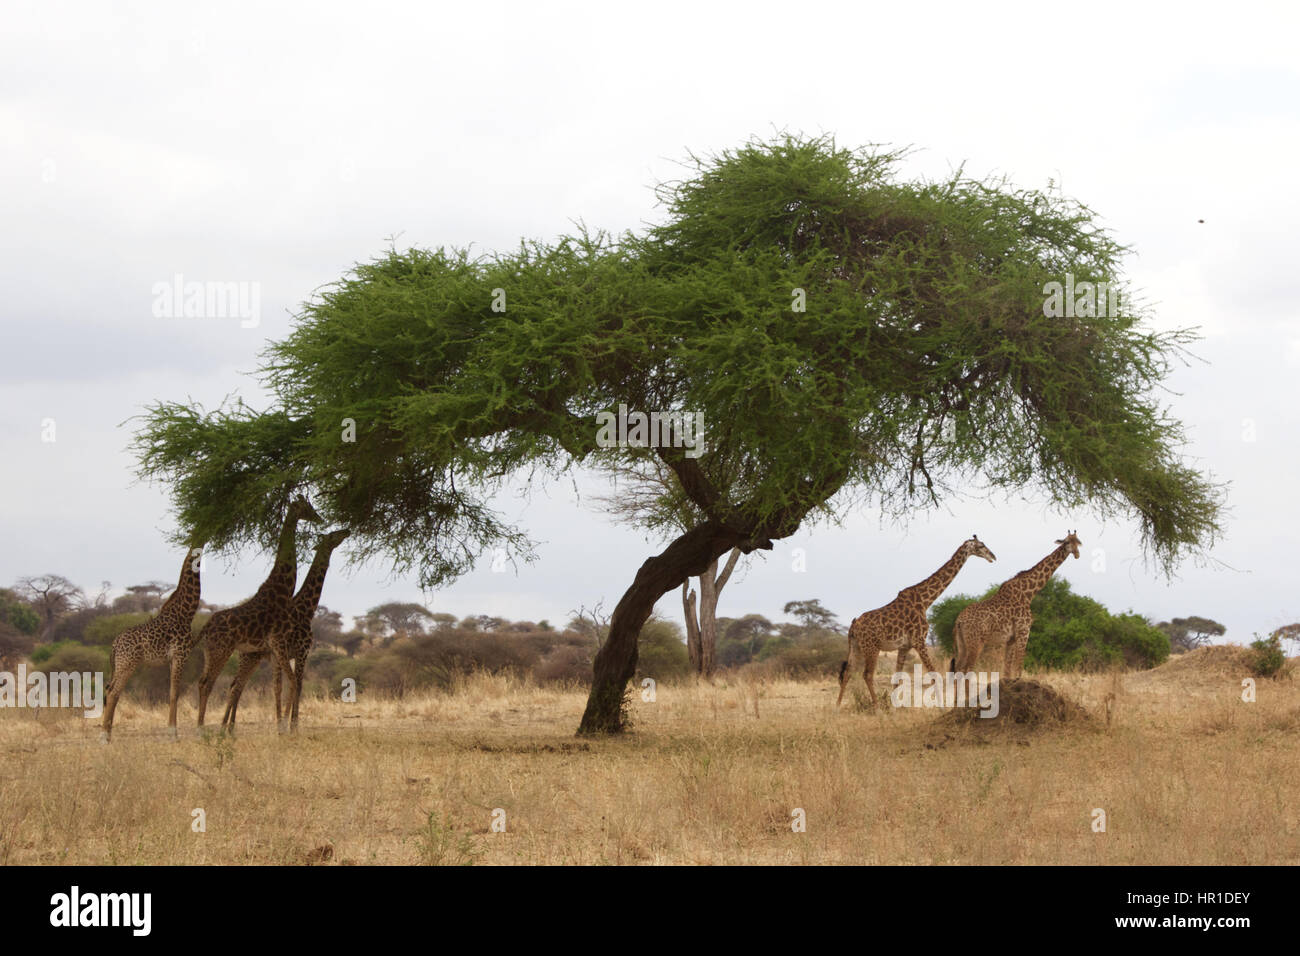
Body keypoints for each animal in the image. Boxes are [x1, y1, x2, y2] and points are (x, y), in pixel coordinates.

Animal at [101, 542, 205, 741]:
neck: (186, 613)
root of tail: (115, 644)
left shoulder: (172, 659)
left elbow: (172, 692)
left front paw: (172, 731)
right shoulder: (180, 655)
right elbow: (174, 693)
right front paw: (173, 733)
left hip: (119, 664)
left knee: (109, 689)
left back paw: (107, 733)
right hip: (128, 663)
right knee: (113, 692)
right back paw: (104, 736)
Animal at [193, 495, 321, 734]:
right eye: (306, 507)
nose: (319, 518)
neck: (281, 590)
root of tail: (205, 628)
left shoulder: (273, 648)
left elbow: (279, 685)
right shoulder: (277, 642)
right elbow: (287, 683)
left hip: (211, 652)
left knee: (204, 681)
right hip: (222, 650)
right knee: (208, 683)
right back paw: (202, 729)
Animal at [267, 528, 350, 734]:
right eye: (332, 535)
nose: (347, 530)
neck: (307, 610)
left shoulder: (296, 654)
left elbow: (291, 685)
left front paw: (289, 726)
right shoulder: (303, 651)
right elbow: (300, 685)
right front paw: (294, 728)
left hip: (275, 656)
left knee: (277, 685)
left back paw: (279, 726)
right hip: (280, 653)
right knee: (289, 683)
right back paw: (284, 726)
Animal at [836, 535, 997, 709]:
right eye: (981, 546)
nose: (993, 556)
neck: (925, 601)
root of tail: (853, 626)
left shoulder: (904, 646)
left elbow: (897, 677)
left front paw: (894, 707)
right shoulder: (919, 640)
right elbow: (934, 674)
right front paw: (941, 707)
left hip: (856, 646)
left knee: (848, 672)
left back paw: (837, 706)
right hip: (871, 647)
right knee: (867, 674)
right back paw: (877, 707)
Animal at [949, 531, 1081, 679]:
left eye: (1078, 542)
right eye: (1067, 542)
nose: (1077, 554)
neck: (1029, 593)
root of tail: (959, 621)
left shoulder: (1010, 639)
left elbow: (1007, 670)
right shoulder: (1024, 631)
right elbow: (1018, 668)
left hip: (962, 644)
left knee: (957, 669)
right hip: (976, 643)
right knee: (966, 669)